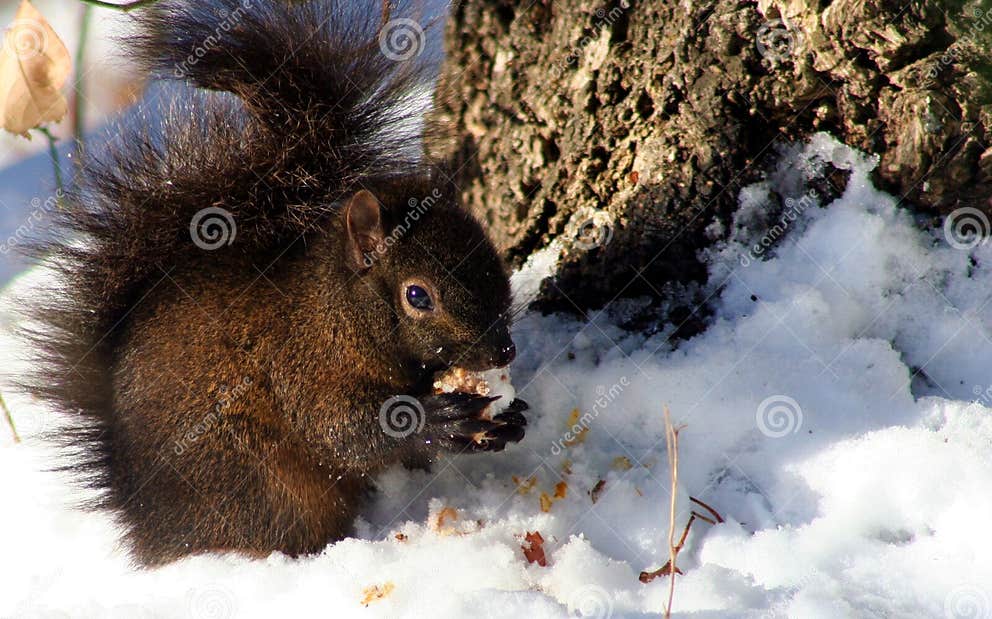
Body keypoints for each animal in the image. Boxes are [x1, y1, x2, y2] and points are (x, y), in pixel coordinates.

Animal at [18, 0, 528, 566]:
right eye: (417, 296)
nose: (503, 351)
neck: (336, 310)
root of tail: (147, 525)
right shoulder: (302, 362)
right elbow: (340, 428)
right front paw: (437, 420)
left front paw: (511, 418)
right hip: (259, 484)